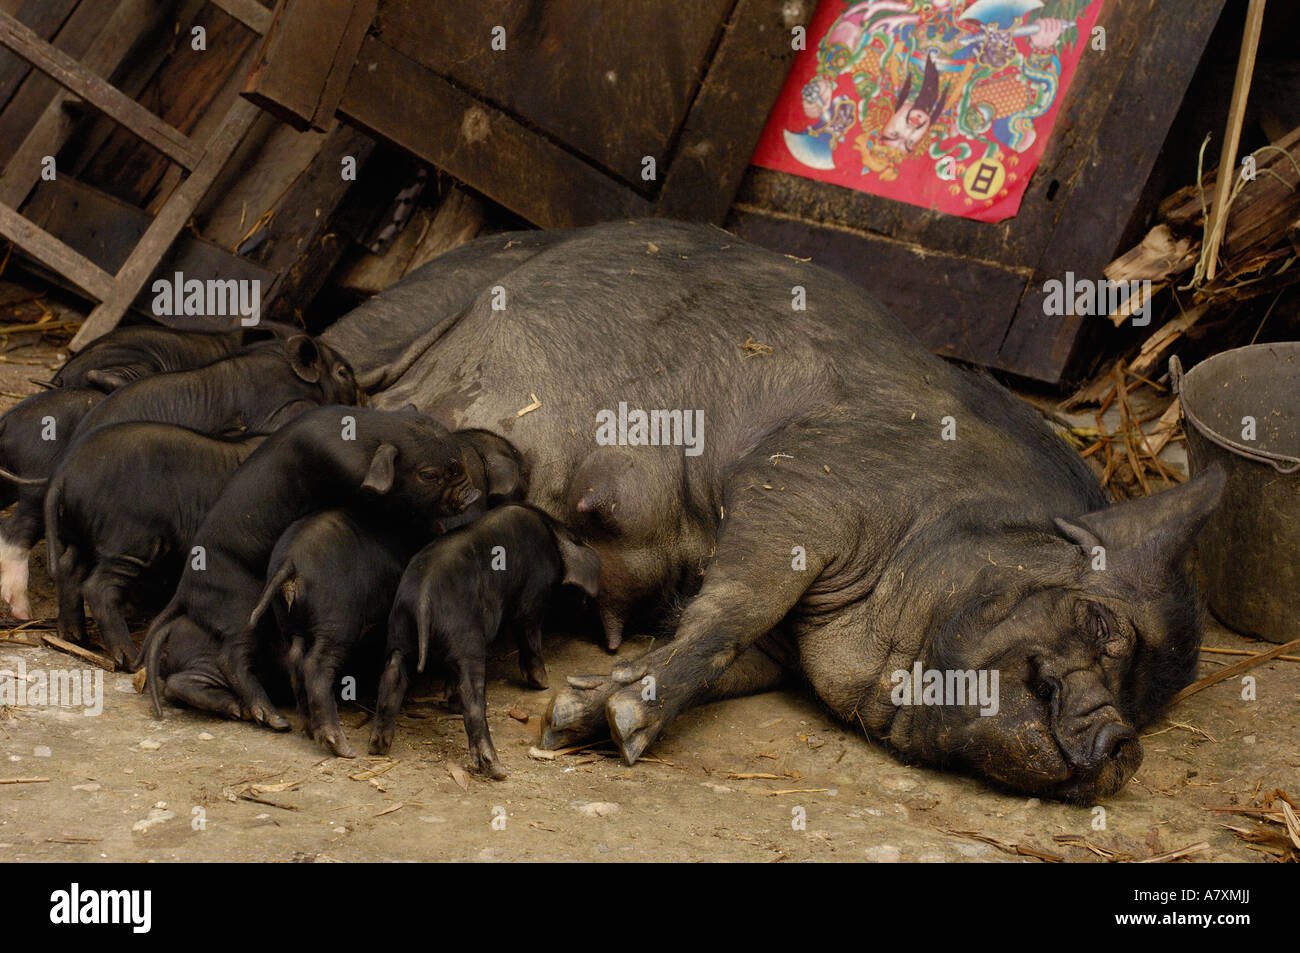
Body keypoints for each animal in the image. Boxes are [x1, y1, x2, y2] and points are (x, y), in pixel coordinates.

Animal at [43, 423, 263, 668]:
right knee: (98, 587)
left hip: (81, 535)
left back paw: (75, 639)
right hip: (130, 539)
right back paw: (129, 660)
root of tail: (63, 474)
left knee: (68, 568)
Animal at [142, 406, 482, 729]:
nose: (472, 494)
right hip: (236, 604)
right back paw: (272, 718)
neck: (364, 440)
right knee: (232, 656)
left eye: (458, 458)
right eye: (429, 475)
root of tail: (184, 590)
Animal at [244, 427, 528, 756]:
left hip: (289, 620)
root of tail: (290, 564)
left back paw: (308, 729)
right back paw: (339, 745)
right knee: (315, 665)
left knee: (293, 658)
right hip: (337, 621)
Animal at [370, 504, 600, 778]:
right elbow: (530, 634)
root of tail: (423, 598)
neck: (550, 533)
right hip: (467, 641)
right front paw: (543, 684)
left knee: (392, 675)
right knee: (472, 697)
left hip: (398, 631)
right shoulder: (533, 596)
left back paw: (378, 746)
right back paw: (497, 770)